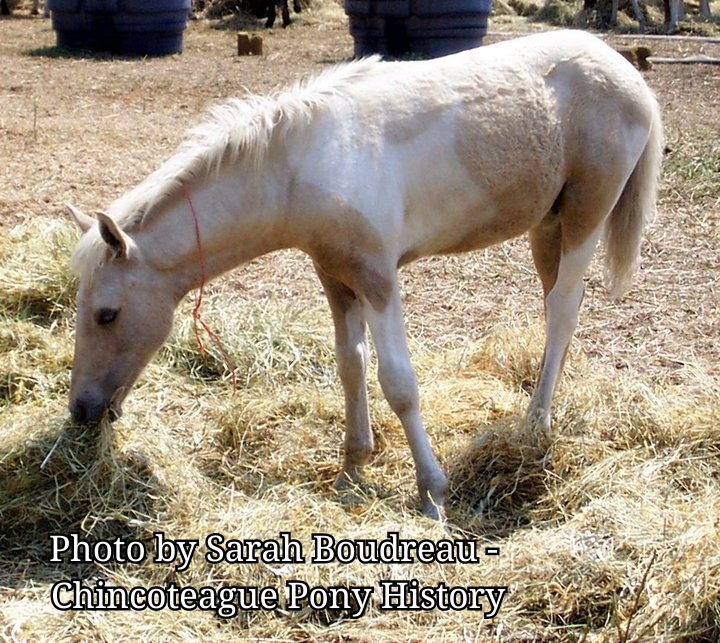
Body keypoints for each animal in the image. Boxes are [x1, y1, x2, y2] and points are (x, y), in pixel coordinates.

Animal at [67, 30, 663, 519]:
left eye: (107, 314)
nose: (82, 411)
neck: (303, 168)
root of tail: (626, 69)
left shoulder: (378, 278)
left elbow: (398, 383)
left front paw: (431, 492)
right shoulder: (336, 276)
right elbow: (350, 366)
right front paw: (353, 466)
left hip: (587, 214)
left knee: (562, 308)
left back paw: (535, 423)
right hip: (548, 225)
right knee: (559, 303)